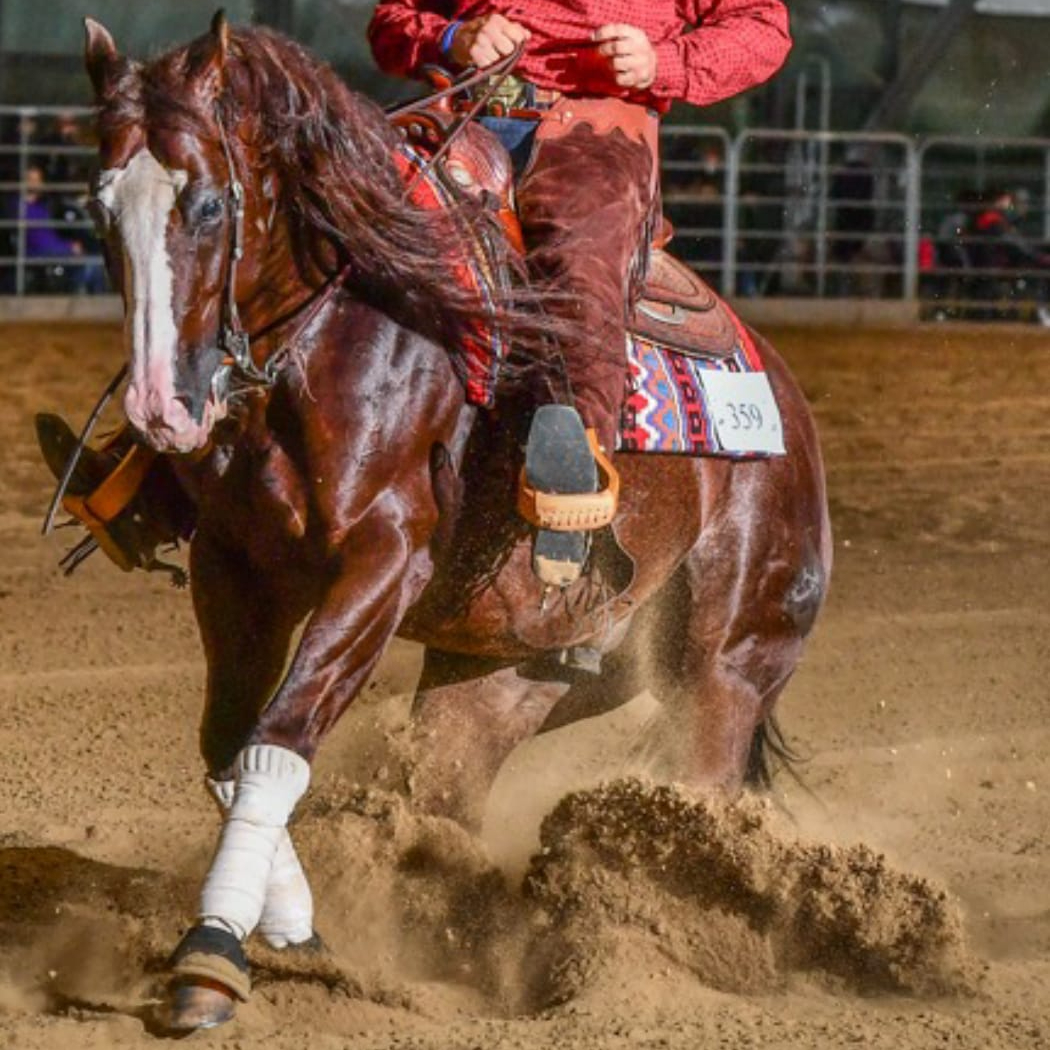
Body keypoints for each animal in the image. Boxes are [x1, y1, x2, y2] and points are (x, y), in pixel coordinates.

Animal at [79, 12, 830, 1031]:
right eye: (100, 211)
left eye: (203, 206)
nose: (164, 409)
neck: (345, 329)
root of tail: (788, 414)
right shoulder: (236, 568)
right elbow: (232, 744)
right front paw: (295, 931)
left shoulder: (382, 562)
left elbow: (282, 735)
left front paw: (211, 955)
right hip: (513, 672)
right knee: (450, 780)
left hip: (727, 669)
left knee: (704, 784)